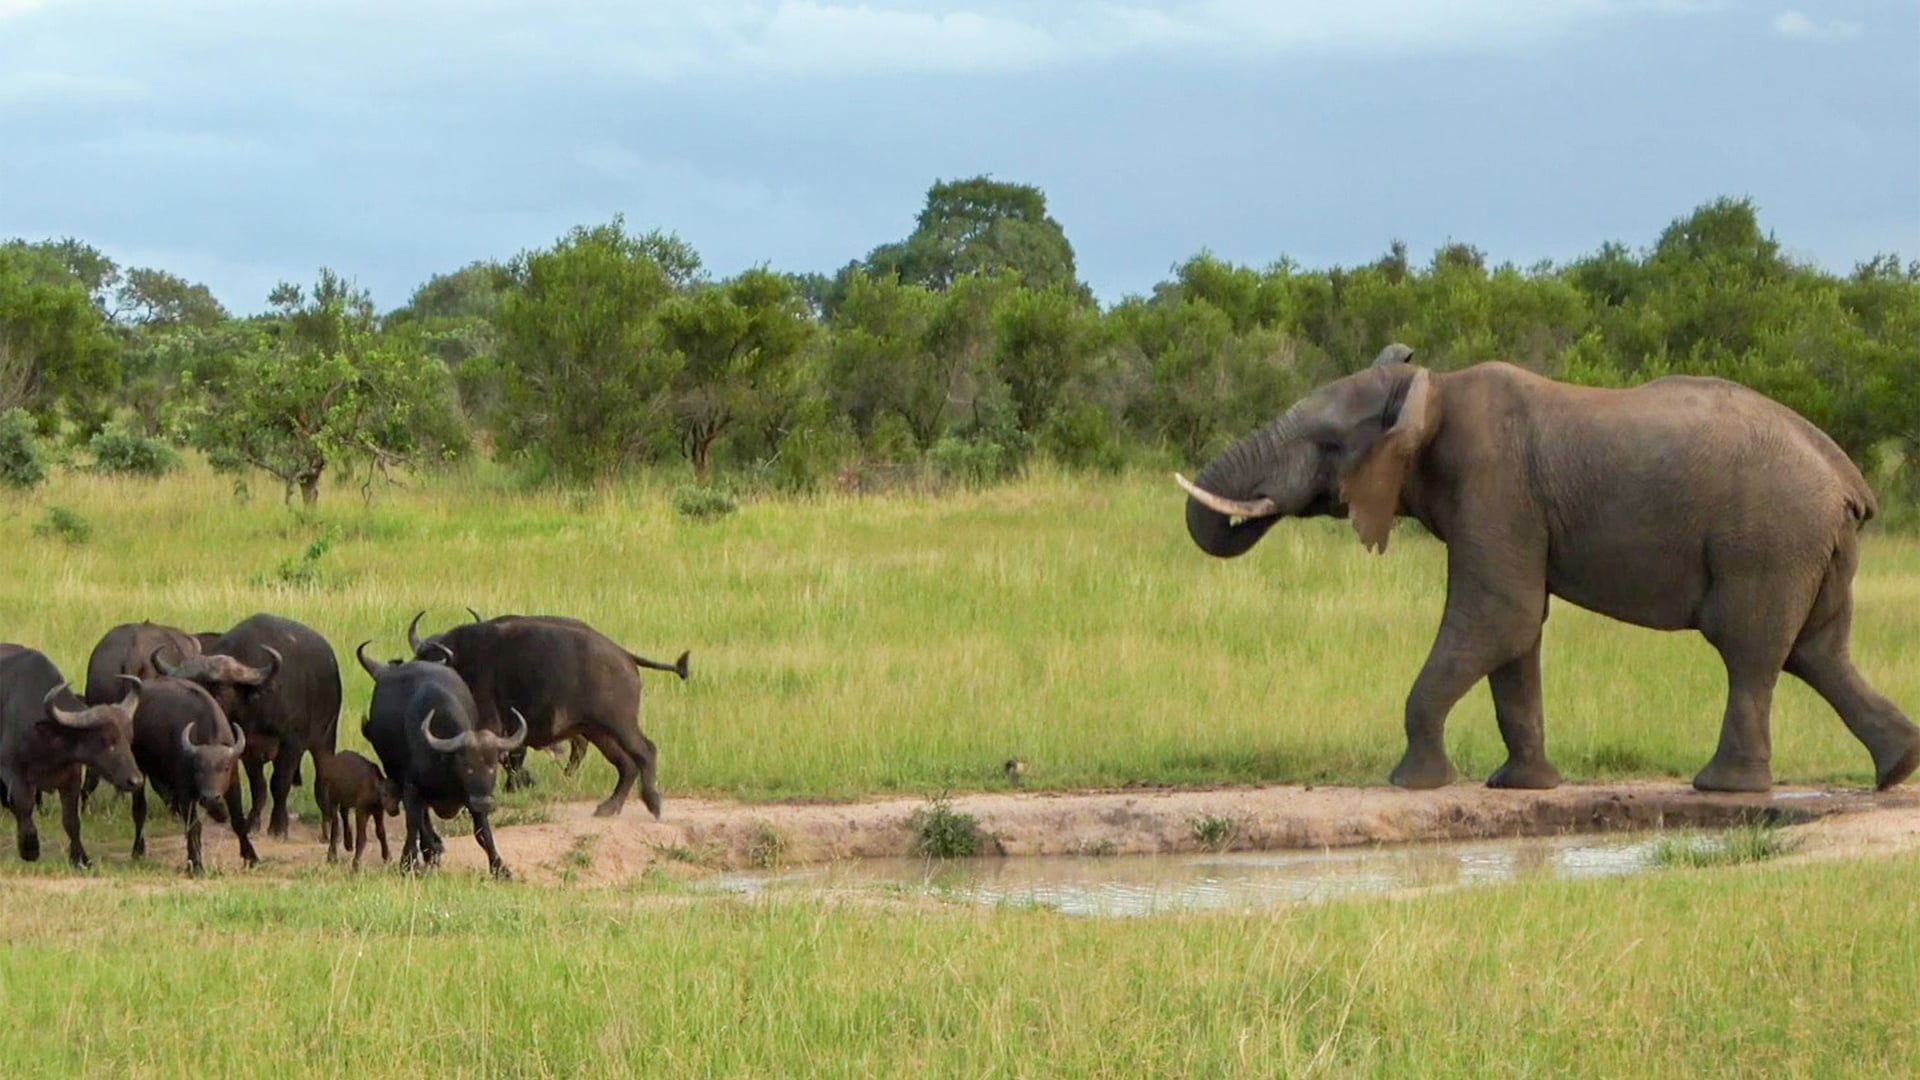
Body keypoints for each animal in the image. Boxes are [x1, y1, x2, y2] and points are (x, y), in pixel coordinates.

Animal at [0, 647, 144, 867]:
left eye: (129, 739)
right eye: (105, 741)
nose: (136, 781)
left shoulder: (71, 776)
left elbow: (71, 820)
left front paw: (80, 858)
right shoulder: (12, 772)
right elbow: (25, 807)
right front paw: (29, 850)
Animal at [128, 675, 257, 874]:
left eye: (225, 767)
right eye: (197, 768)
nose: (210, 797)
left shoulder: (233, 784)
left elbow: (238, 820)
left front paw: (250, 856)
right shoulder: (184, 790)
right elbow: (194, 825)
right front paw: (195, 863)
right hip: (139, 770)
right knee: (140, 809)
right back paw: (138, 850)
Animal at [357, 642, 525, 879]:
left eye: (492, 766)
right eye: (465, 766)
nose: (483, 802)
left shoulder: (472, 798)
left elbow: (482, 831)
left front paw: (500, 868)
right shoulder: (411, 788)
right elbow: (414, 823)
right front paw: (408, 862)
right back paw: (431, 849)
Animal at [409, 610, 686, 817]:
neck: (462, 663)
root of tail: (624, 655)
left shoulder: (492, 725)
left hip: (620, 724)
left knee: (646, 751)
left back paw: (653, 803)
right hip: (597, 731)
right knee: (626, 764)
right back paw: (609, 807)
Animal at [1175, 343, 1920, 794]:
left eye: (1330, 444)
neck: (1431, 390)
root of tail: (1848, 482)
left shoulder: (1494, 483)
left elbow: (1497, 615)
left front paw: (1413, 783)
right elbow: (1517, 632)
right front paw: (1522, 785)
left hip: (1768, 541)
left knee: (1751, 650)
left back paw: (1723, 787)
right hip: (1807, 547)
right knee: (1816, 652)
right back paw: (1896, 769)